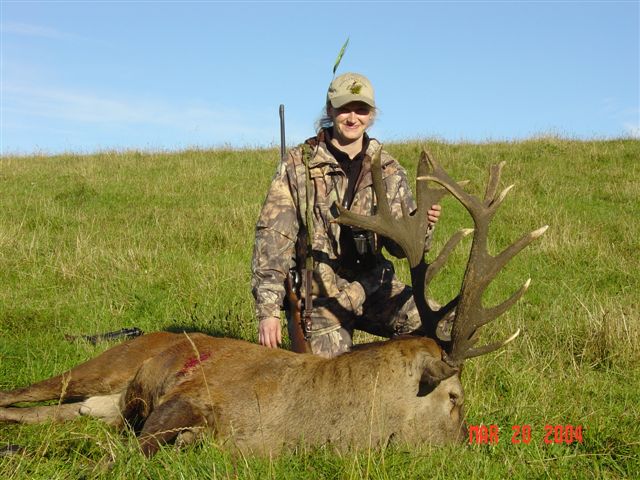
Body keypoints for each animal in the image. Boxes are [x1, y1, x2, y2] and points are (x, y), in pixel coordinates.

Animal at [0, 150, 547, 457]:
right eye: (455, 398)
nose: (468, 448)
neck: (292, 430)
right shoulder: (191, 397)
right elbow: (124, 455)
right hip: (106, 365)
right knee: (18, 392)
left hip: (97, 401)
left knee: (42, 413)